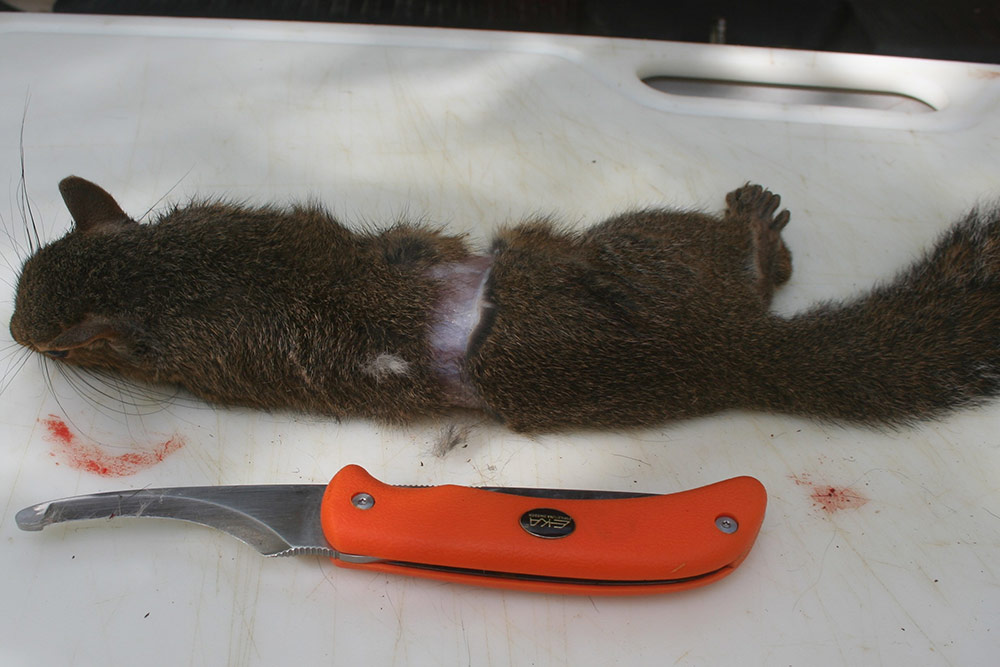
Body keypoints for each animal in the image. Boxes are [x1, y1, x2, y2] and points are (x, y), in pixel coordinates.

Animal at [8, 176, 1000, 432]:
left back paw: (757, 230)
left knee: (748, 263)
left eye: (58, 350)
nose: (13, 328)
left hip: (649, 250)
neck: (163, 273)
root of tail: (735, 351)